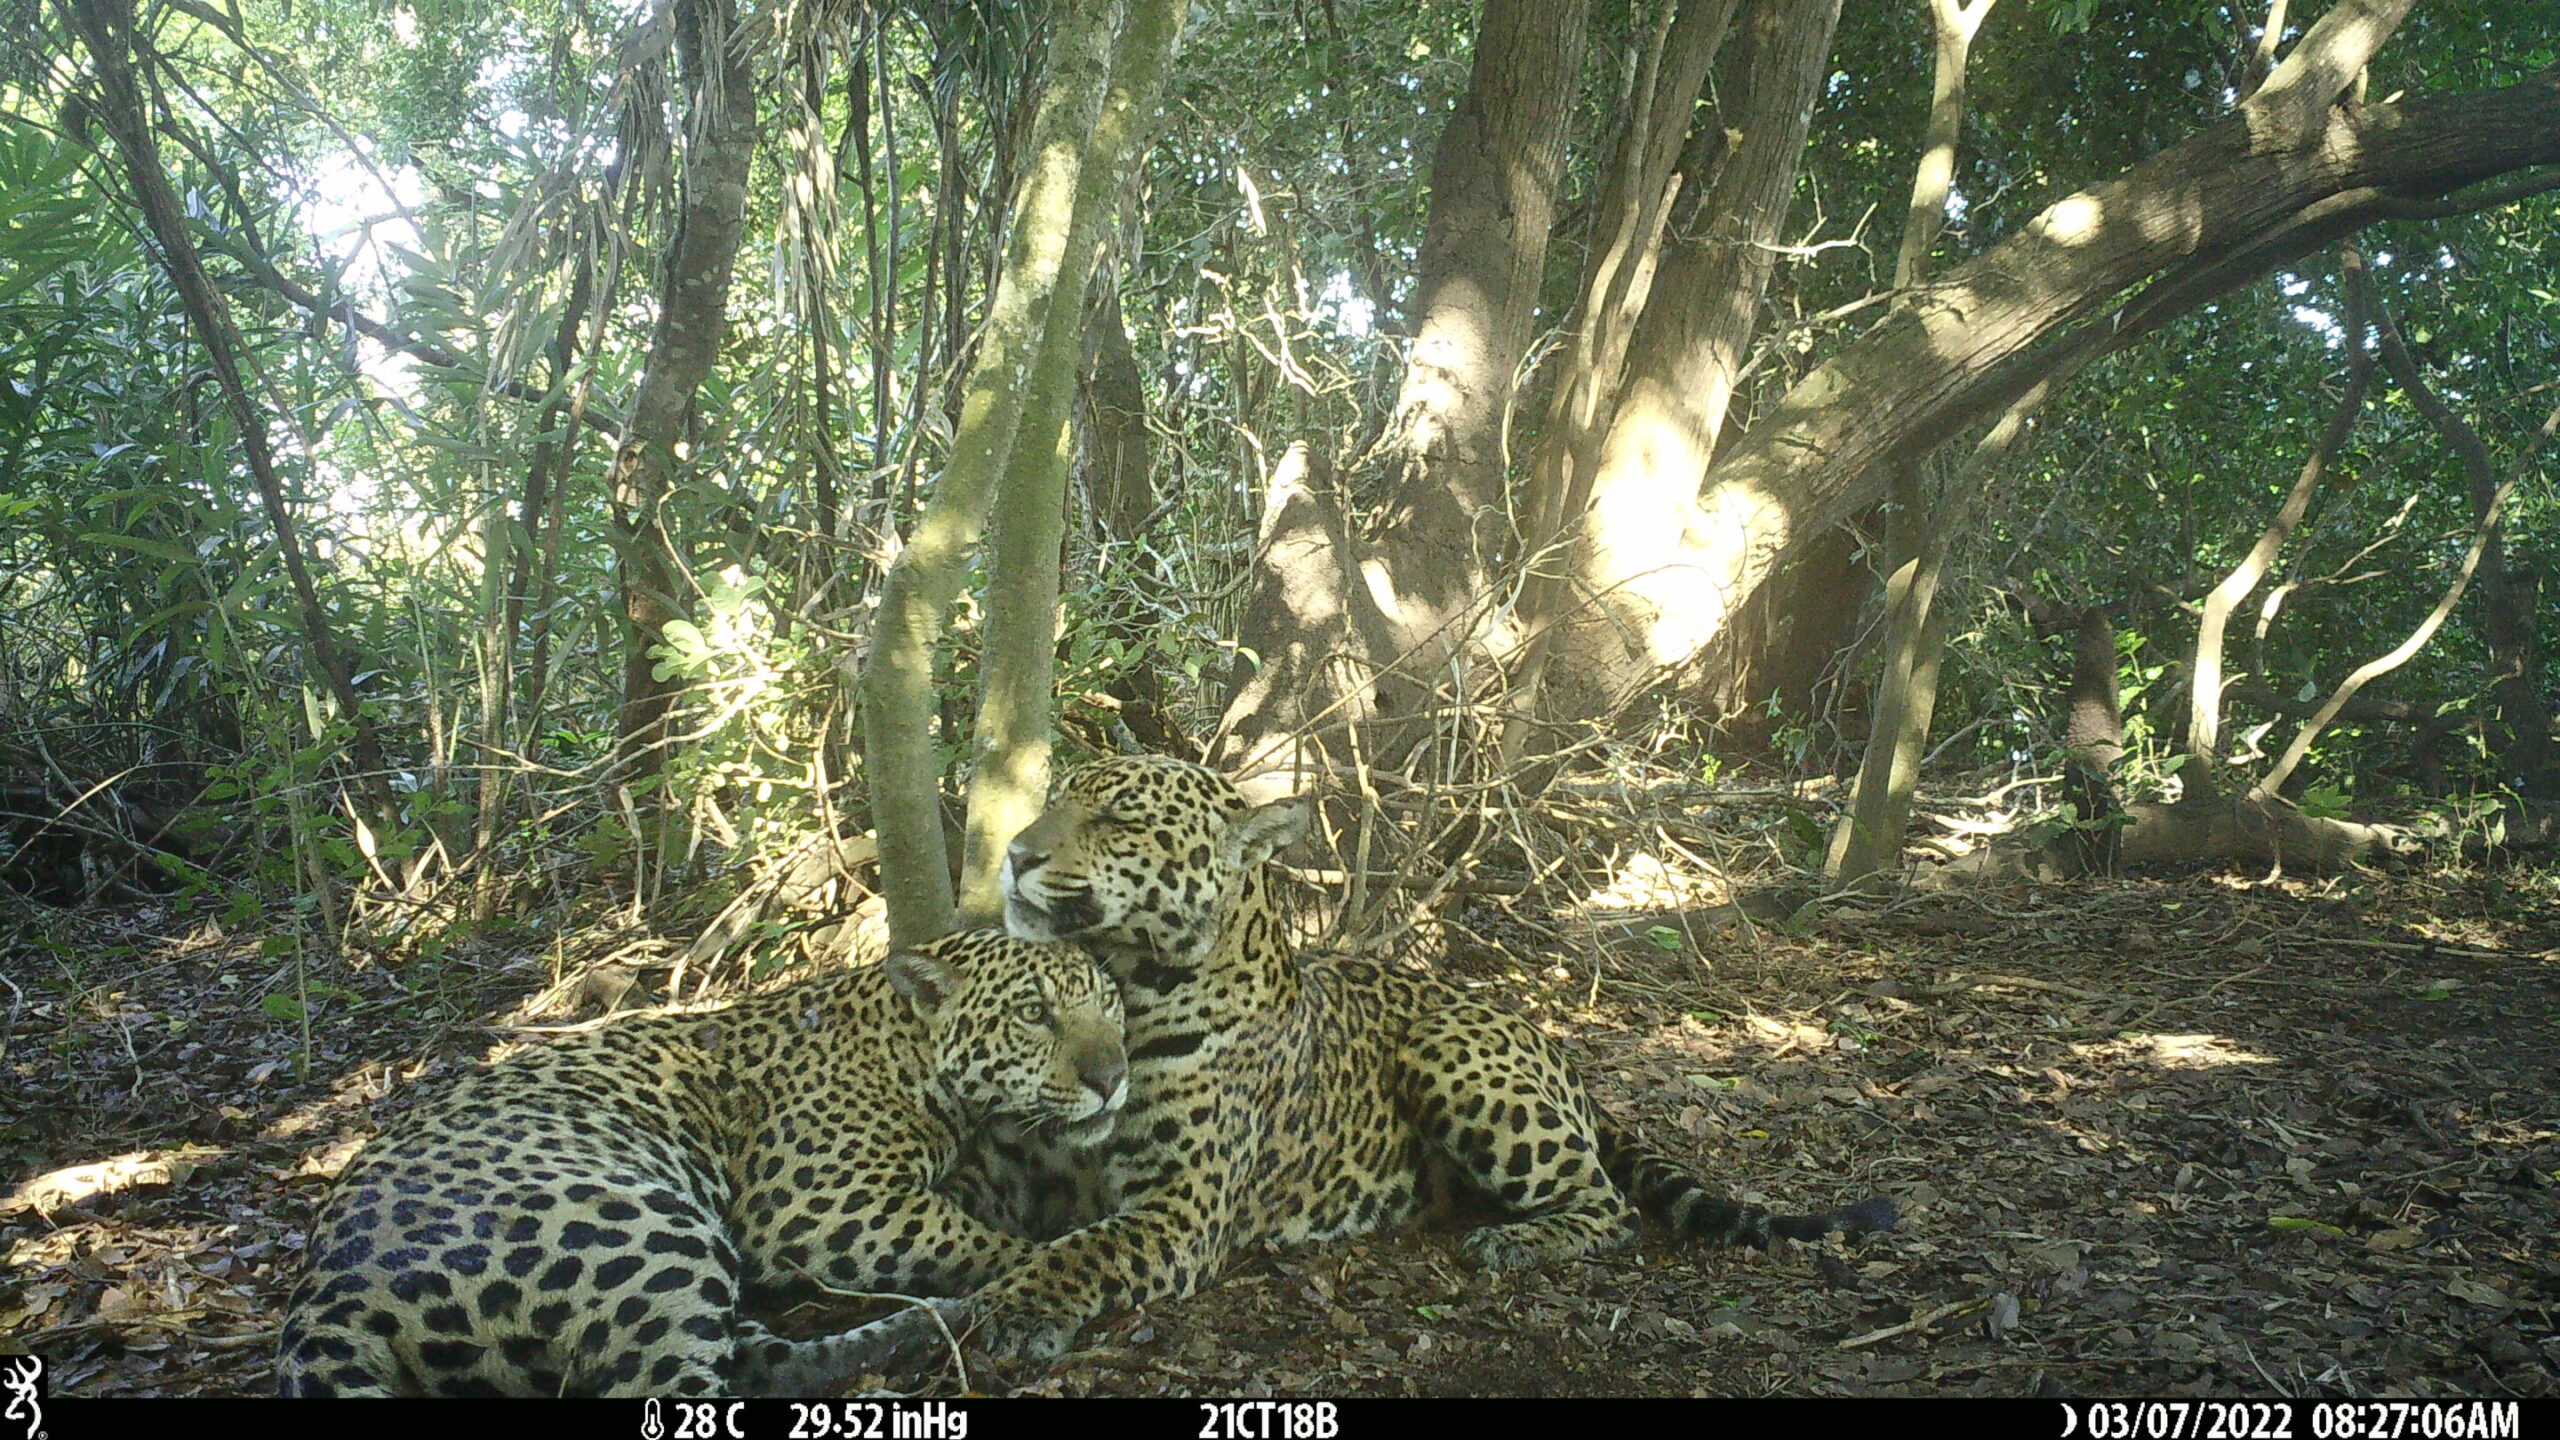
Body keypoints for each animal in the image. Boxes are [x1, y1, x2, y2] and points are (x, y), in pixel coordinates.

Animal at [273, 929, 1126, 1397]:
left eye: (1110, 1003)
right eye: (1032, 1013)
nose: (1113, 1077)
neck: (901, 1050)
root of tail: (325, 1295)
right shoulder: (820, 1205)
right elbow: (982, 1240)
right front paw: (1039, 1277)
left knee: (760, 1365)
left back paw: (926, 1325)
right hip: (643, 1226)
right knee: (676, 1388)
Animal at [845, 754, 1897, 1370]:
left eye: (1123, 822)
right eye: (1058, 799)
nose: (1014, 856)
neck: (1135, 986)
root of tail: (1549, 1043)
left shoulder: (1179, 1208)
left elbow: (1081, 1250)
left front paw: (1012, 1309)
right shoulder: (1030, 1168)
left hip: (1453, 1059)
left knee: (1606, 1207)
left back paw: (1513, 1242)